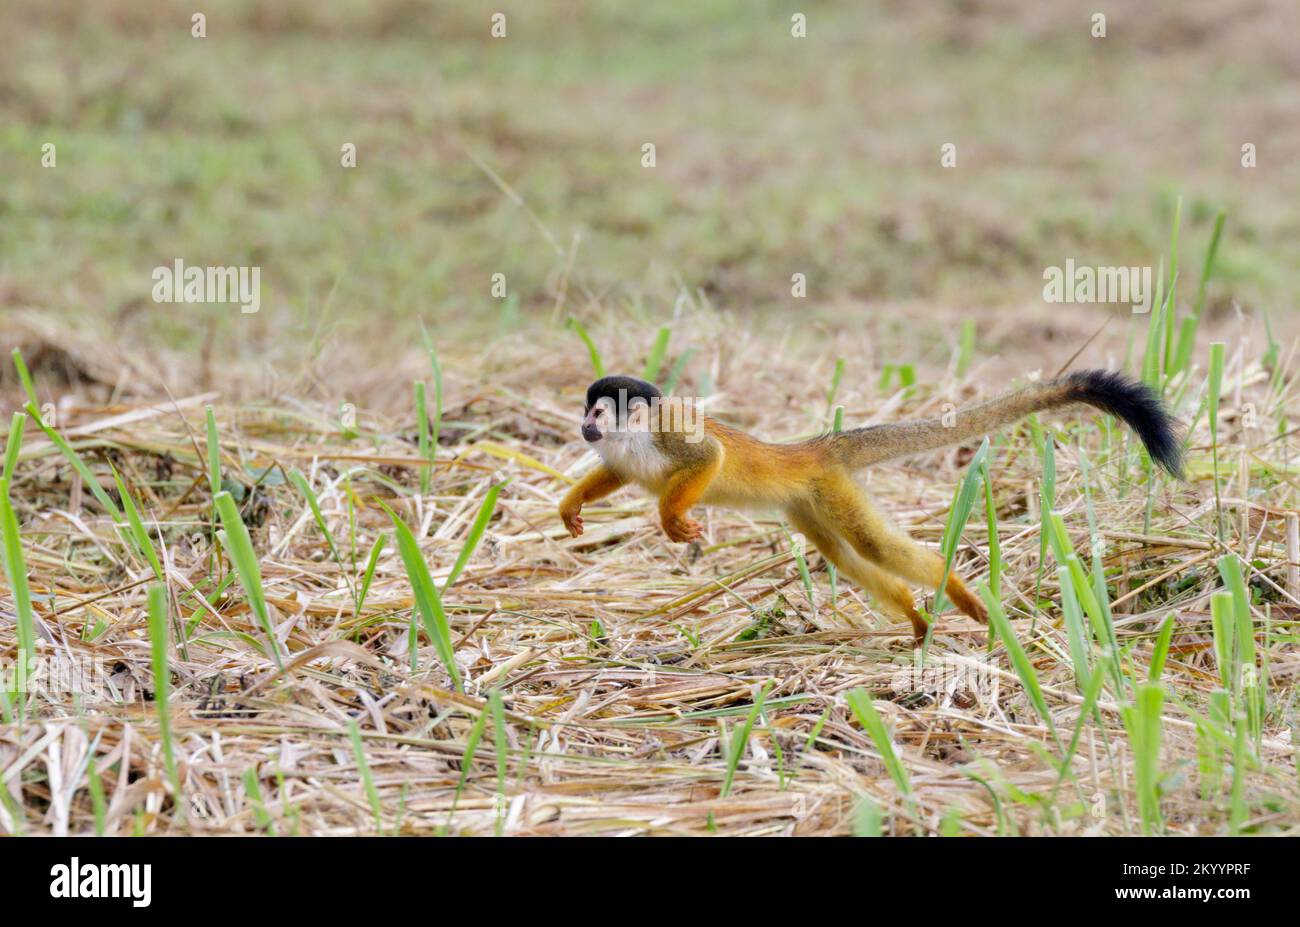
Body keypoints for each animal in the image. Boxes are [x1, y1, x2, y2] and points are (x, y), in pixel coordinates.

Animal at [559, 371, 1181, 642]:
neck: (634, 436)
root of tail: (814, 448)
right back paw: (913, 615)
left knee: (870, 545)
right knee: (844, 555)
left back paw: (954, 589)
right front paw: (572, 505)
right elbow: (618, 473)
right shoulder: (623, 453)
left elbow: (709, 456)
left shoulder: (671, 434)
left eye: (597, 411)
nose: (584, 425)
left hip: (830, 487)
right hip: (809, 502)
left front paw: (672, 519)